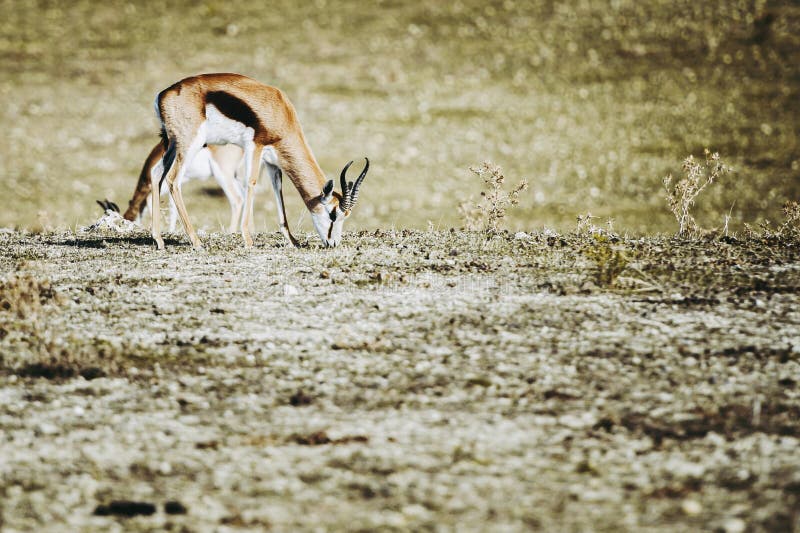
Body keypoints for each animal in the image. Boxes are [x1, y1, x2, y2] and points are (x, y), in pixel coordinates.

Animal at [152, 73, 369, 249]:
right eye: (333, 214)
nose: (333, 243)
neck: (281, 112)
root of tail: (163, 95)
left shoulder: (273, 161)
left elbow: (278, 191)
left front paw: (292, 240)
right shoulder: (254, 146)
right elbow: (251, 183)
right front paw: (248, 240)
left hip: (173, 145)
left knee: (156, 174)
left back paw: (159, 240)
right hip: (190, 145)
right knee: (173, 180)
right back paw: (196, 241)